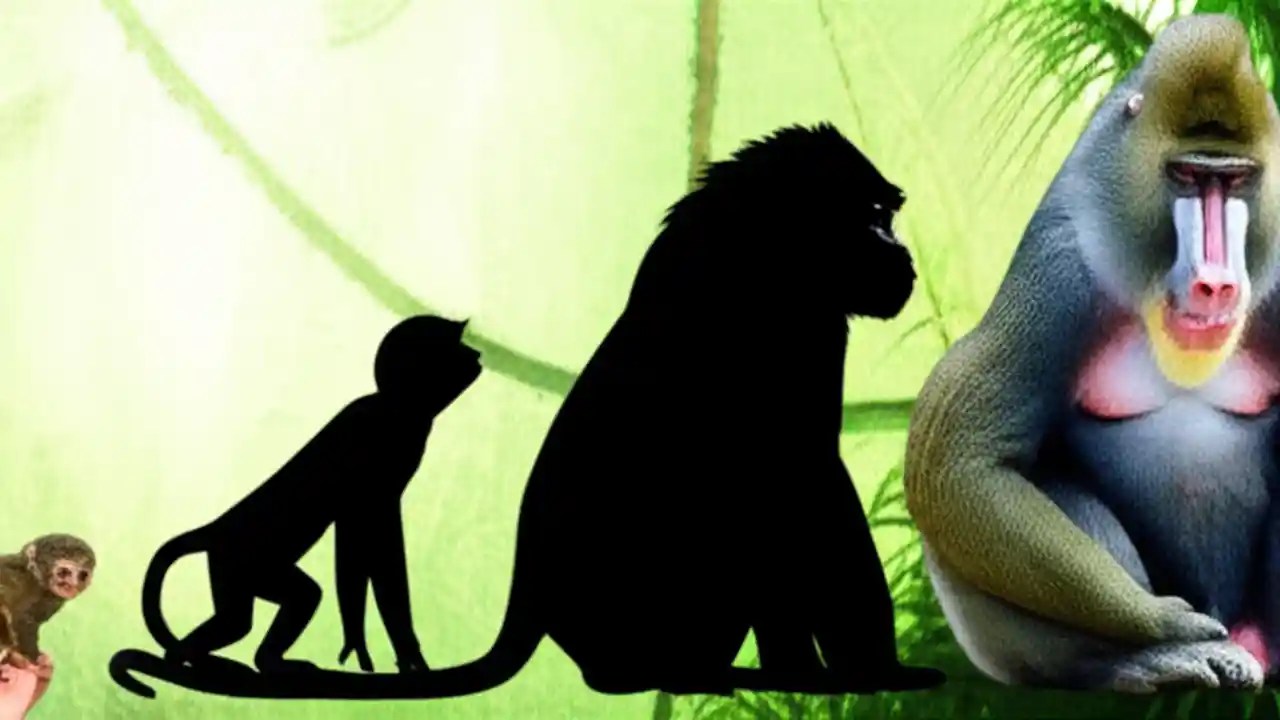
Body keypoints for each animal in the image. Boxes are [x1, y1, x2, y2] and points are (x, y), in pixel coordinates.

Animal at [108, 314, 483, 698]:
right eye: (456, 345)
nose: (477, 354)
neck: (396, 406)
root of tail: (216, 529)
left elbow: (353, 550)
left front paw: (362, 643)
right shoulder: (387, 458)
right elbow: (380, 555)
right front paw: (408, 654)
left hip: (239, 573)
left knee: (263, 610)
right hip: (240, 565)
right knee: (252, 616)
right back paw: (216, 660)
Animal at [903, 14, 1280, 693]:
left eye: (1235, 179)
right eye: (1188, 176)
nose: (1215, 283)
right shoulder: (1061, 268)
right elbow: (957, 462)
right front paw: (1165, 624)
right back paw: (1142, 660)